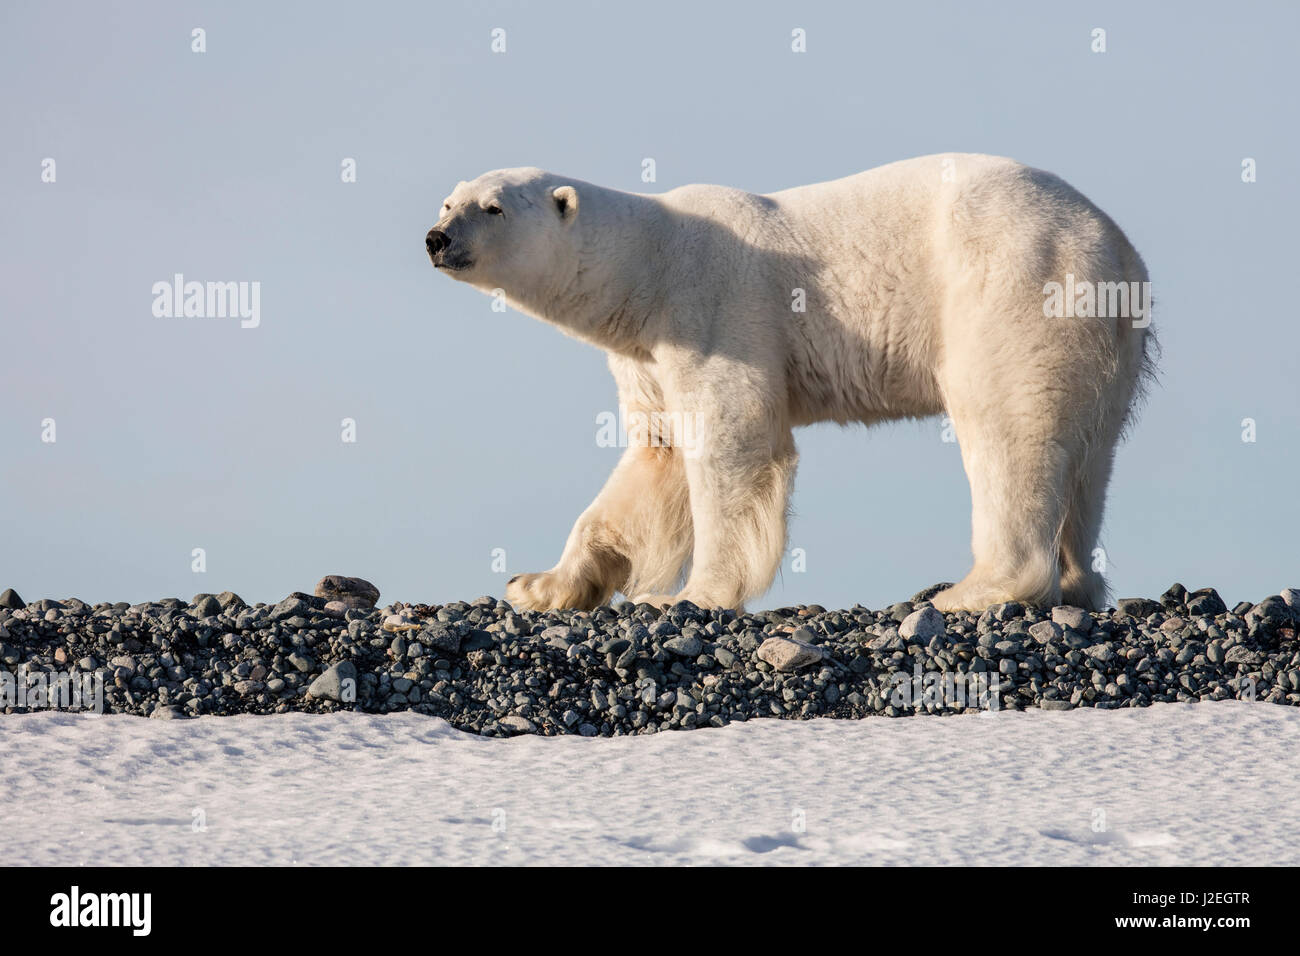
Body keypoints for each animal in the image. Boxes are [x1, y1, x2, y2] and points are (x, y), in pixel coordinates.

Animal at [425, 154, 1155, 612]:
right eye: (449, 200)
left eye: (492, 208)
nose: (436, 238)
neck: (652, 262)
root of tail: (1116, 248)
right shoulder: (647, 353)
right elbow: (655, 456)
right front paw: (539, 584)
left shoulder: (716, 310)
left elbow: (730, 442)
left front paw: (688, 595)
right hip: (1106, 344)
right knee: (1089, 455)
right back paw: (1074, 580)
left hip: (1012, 289)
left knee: (1006, 428)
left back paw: (973, 589)